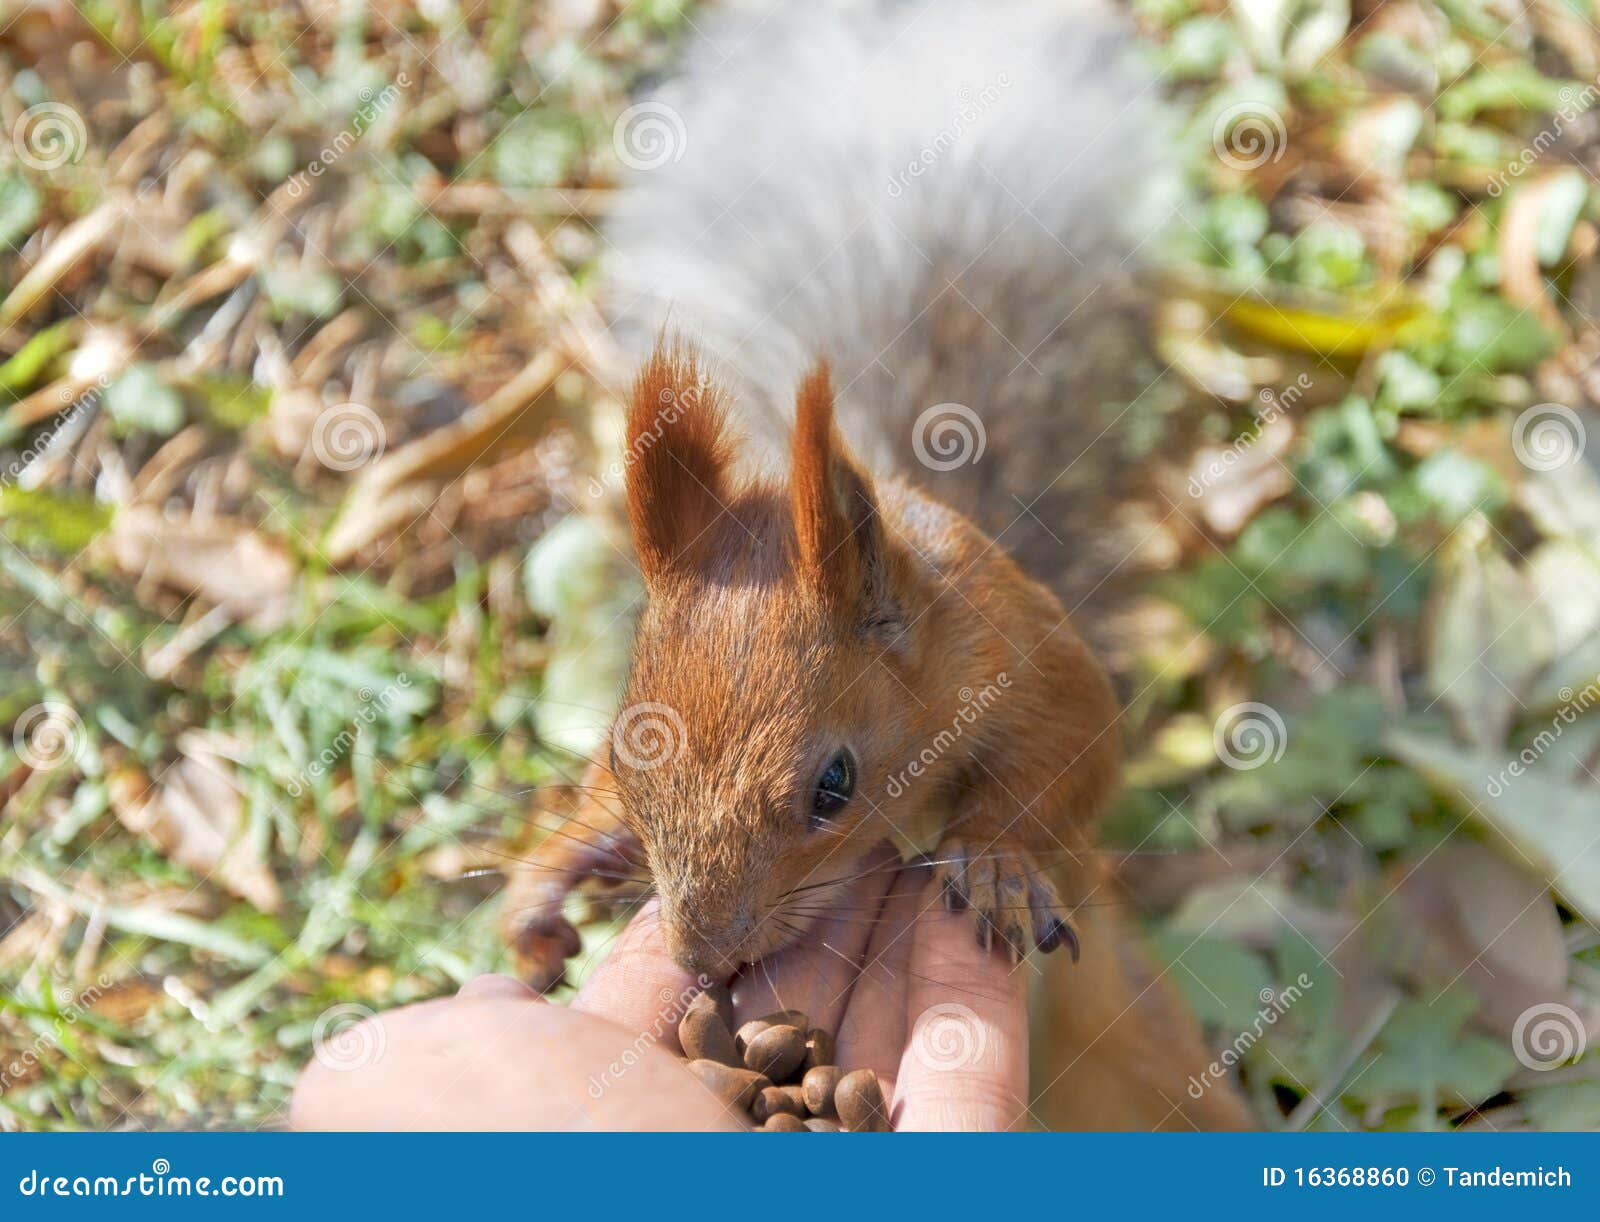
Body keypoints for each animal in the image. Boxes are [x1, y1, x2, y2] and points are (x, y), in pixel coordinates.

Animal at [507, 0, 1252, 1130]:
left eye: (833, 787)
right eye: (626, 750)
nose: (705, 958)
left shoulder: (1016, 648)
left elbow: (1077, 744)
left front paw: (998, 862)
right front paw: (549, 880)